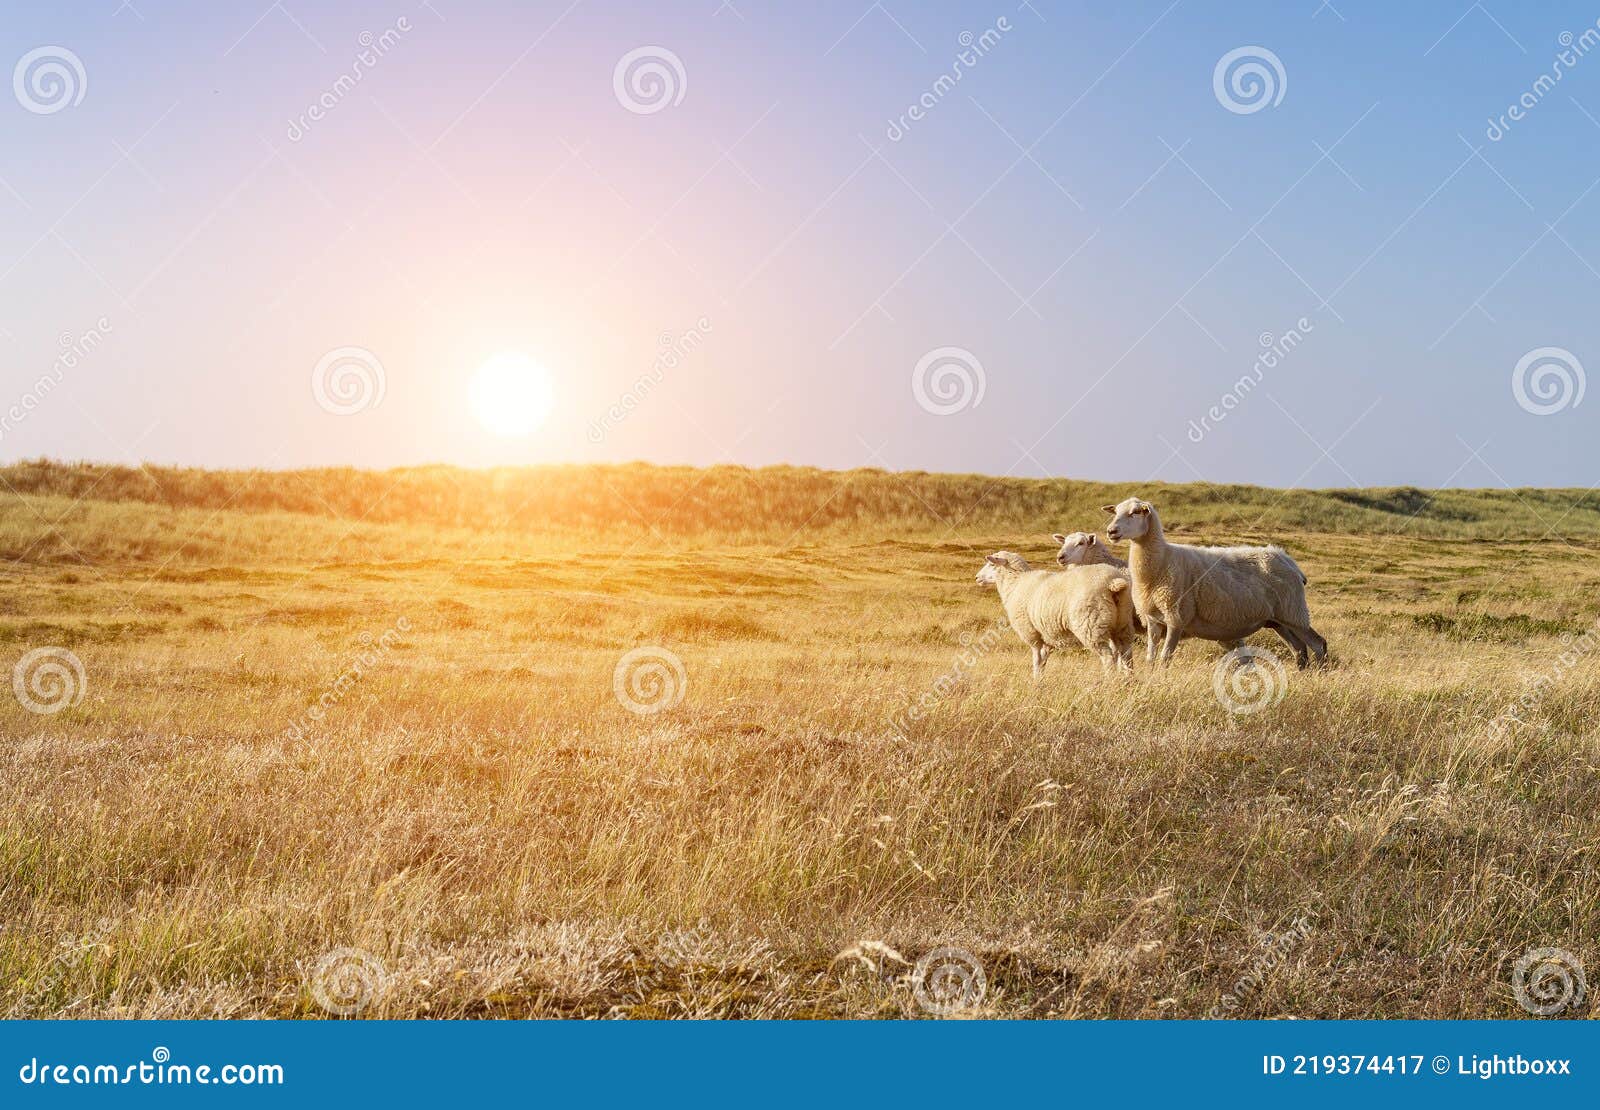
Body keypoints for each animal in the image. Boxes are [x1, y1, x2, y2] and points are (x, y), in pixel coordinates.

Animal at [976, 551, 1137, 677]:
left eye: (992, 565)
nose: (977, 577)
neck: (1016, 583)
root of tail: (1113, 583)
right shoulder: (1046, 635)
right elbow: (1043, 659)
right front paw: (1040, 680)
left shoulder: (1032, 634)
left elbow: (1036, 659)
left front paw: (1035, 681)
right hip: (1123, 622)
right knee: (1126, 654)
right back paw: (1128, 681)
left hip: (1091, 625)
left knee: (1108, 657)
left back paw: (1109, 682)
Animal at [1101, 497, 1327, 668]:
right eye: (1115, 512)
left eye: (1135, 512)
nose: (1111, 531)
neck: (1163, 559)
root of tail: (1288, 559)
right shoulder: (1154, 620)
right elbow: (1151, 657)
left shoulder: (1176, 618)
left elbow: (1165, 658)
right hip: (1279, 620)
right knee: (1299, 648)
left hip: (1294, 612)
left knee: (1318, 644)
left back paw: (1318, 675)